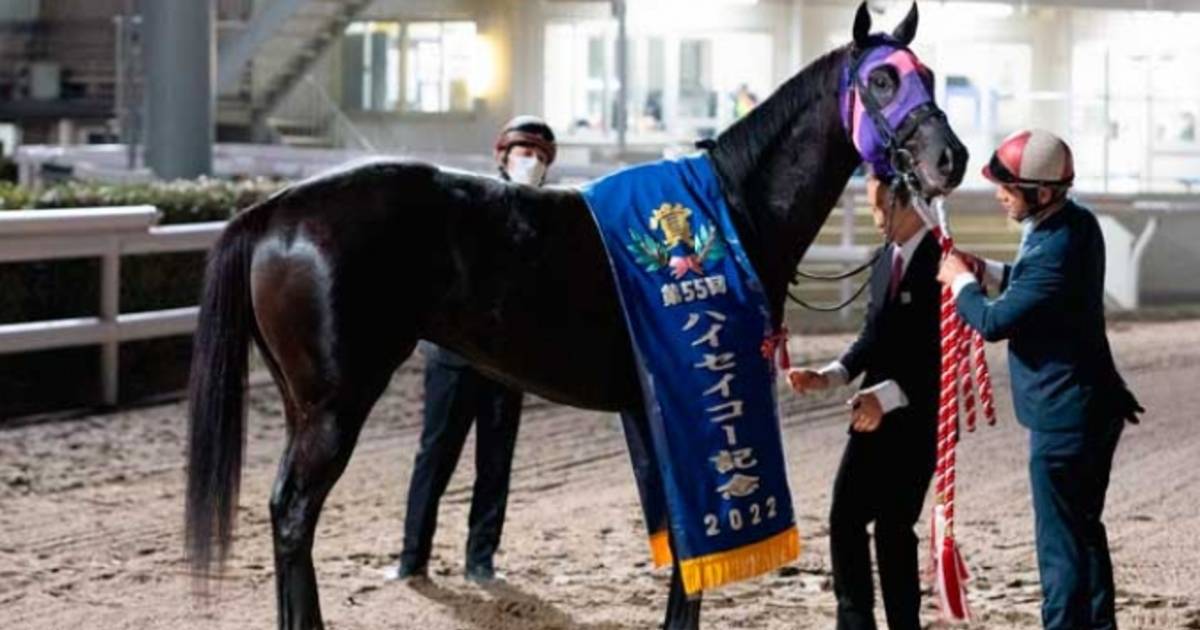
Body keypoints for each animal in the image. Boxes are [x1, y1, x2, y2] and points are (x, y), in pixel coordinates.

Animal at [185, 3, 966, 629]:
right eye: (881, 80)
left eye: (929, 73)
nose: (950, 159)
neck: (732, 209)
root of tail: (272, 212)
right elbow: (694, 533)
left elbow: (680, 536)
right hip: (334, 405)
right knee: (293, 514)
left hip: (302, 404)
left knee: (285, 515)